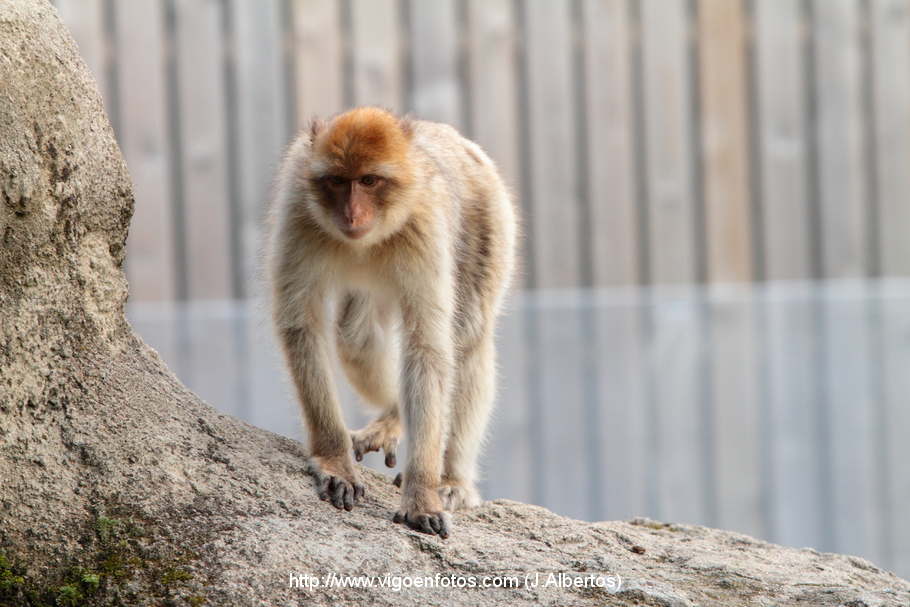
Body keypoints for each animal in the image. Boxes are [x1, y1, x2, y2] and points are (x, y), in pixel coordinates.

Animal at [267, 107, 517, 538]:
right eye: (338, 181)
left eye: (369, 180)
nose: (352, 213)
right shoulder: (298, 209)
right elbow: (303, 327)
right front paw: (333, 459)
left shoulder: (424, 224)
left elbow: (428, 347)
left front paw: (422, 495)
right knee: (356, 336)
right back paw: (395, 416)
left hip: (488, 220)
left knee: (468, 337)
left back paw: (451, 479)